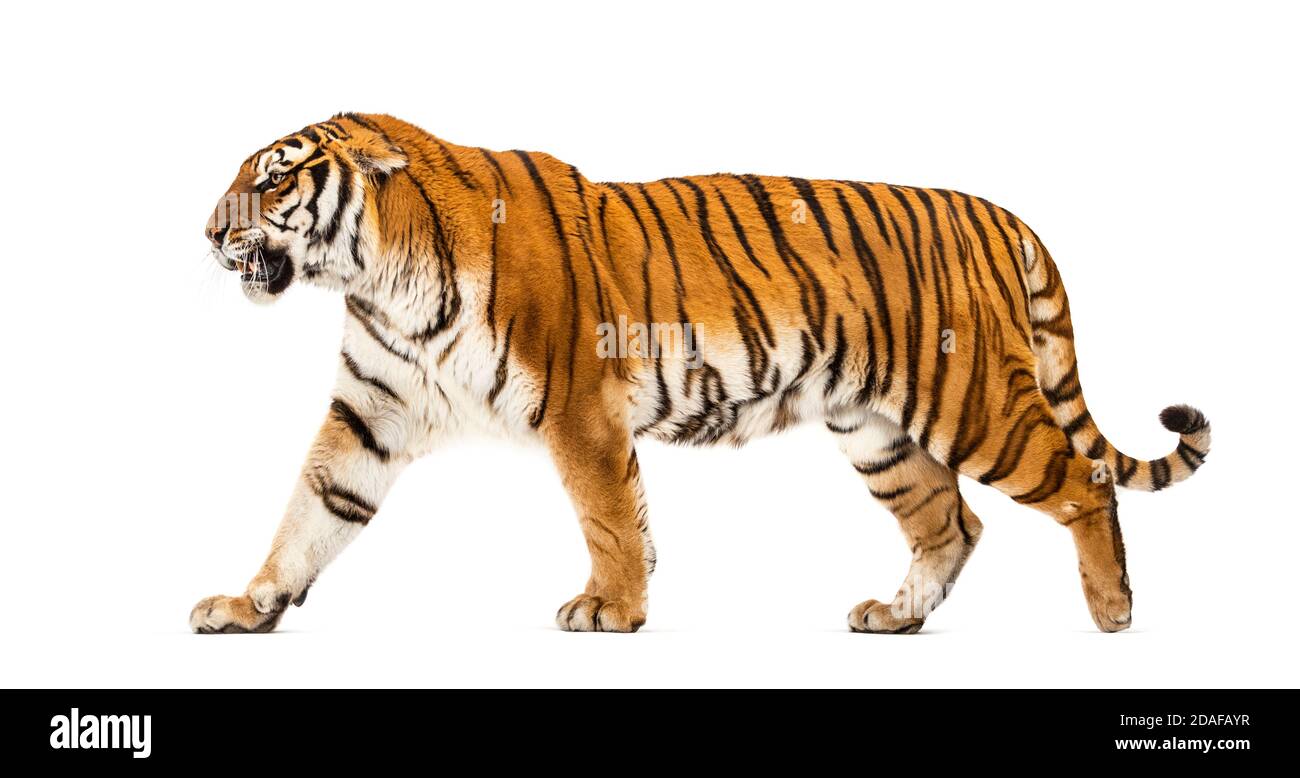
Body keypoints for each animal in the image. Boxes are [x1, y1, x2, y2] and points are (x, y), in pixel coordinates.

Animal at [192, 112, 1210, 635]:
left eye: (273, 181)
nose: (207, 233)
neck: (376, 276)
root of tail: (1001, 214)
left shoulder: (579, 407)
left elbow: (608, 518)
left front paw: (611, 609)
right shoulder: (370, 414)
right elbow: (311, 512)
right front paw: (250, 603)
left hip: (976, 402)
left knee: (1082, 482)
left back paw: (1114, 610)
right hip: (878, 433)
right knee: (951, 523)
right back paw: (895, 616)